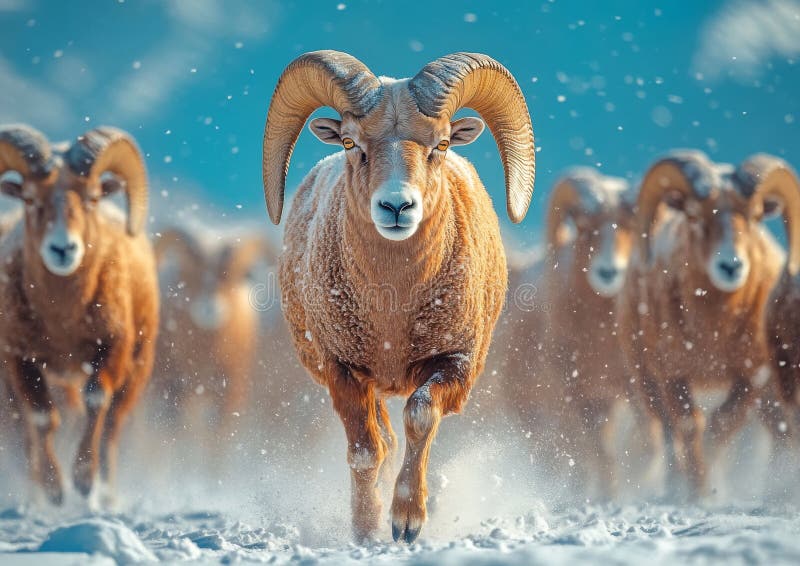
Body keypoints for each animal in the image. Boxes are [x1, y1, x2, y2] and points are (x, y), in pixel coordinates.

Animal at [0, 124, 158, 505]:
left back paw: (106, 495)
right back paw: (34, 497)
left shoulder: (112, 350)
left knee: (112, 427)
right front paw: (55, 491)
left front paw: (84, 481)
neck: (62, 322)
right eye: (29, 198)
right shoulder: (19, 360)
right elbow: (42, 418)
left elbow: (95, 403)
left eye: (92, 198)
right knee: (23, 433)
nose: (63, 248)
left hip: (137, 370)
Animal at [261, 51, 535, 542]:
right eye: (350, 142)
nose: (396, 207)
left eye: (440, 145)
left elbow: (420, 417)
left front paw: (406, 521)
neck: (393, 308)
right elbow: (366, 449)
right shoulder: (341, 370)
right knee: (382, 440)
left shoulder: (455, 364)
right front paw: (367, 528)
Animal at [617, 150, 799, 497]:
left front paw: (711, 490)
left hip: (772, 394)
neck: (713, 332)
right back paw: (674, 487)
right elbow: (689, 427)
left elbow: (721, 425)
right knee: (668, 433)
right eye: (696, 217)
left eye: (755, 217)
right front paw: (697, 493)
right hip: (646, 380)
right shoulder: (673, 375)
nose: (731, 266)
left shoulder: (752, 378)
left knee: (780, 433)